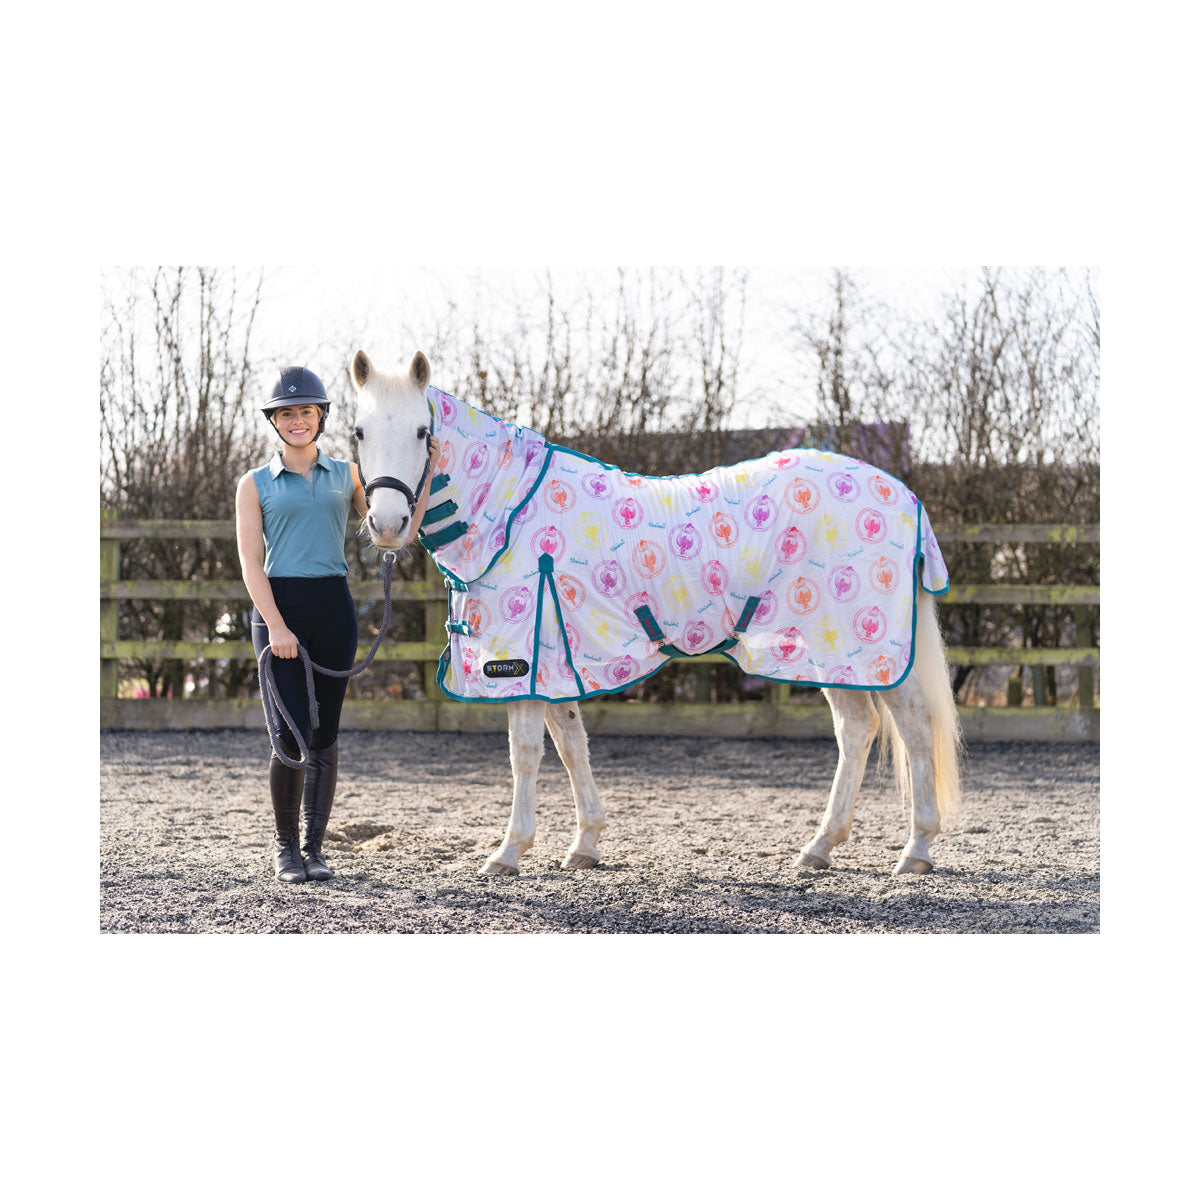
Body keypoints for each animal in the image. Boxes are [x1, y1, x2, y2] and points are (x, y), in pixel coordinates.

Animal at [351, 349, 962, 877]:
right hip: (832, 656)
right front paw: (585, 844)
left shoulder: (521, 664)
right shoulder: (557, 660)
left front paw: (508, 853)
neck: (510, 513)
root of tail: (906, 495)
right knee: (857, 731)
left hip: (866, 651)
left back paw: (916, 850)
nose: (386, 524)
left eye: (422, 431)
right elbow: (571, 746)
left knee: (914, 730)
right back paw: (820, 847)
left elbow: (525, 753)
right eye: (359, 431)